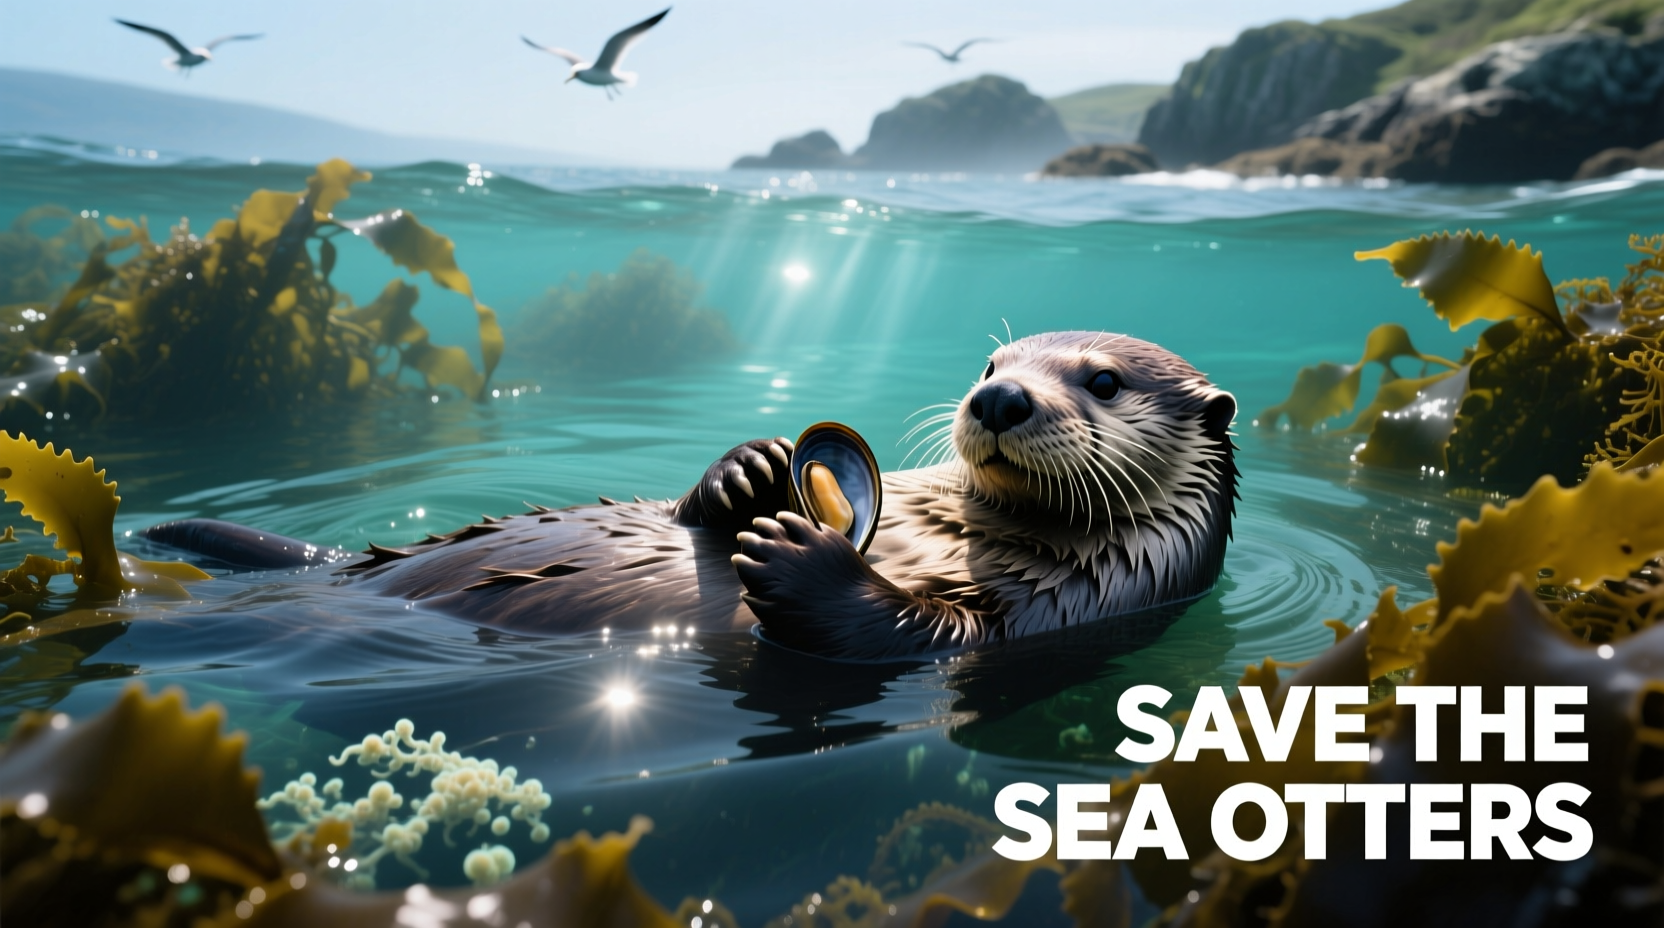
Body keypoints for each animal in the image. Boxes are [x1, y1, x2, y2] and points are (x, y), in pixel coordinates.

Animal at [144, 332, 1237, 661]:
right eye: (991, 361)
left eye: (1102, 381)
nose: (1000, 397)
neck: (951, 528)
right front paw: (747, 472)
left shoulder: (1065, 605)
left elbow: (912, 634)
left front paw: (799, 556)